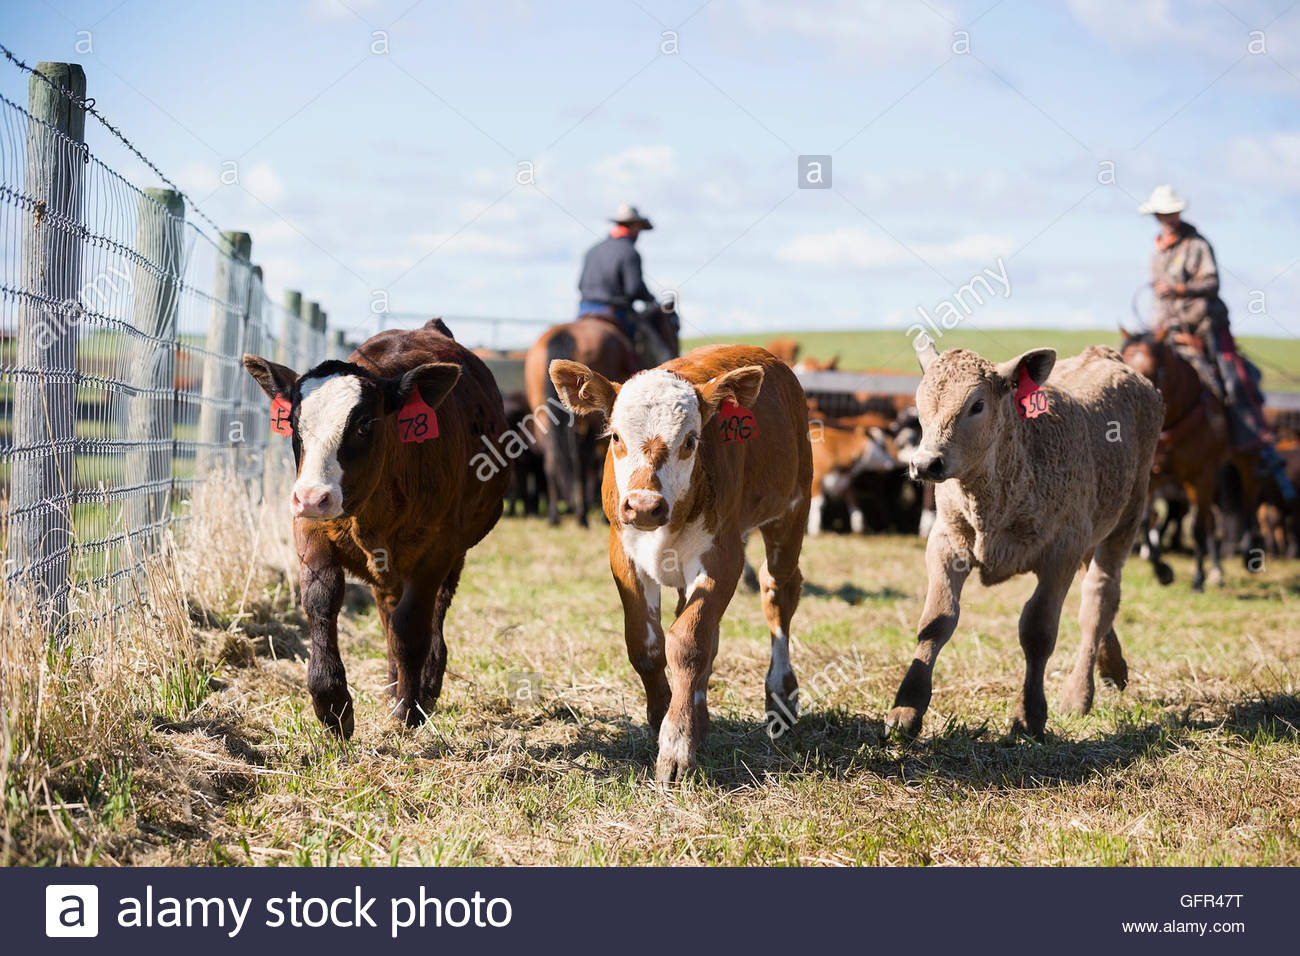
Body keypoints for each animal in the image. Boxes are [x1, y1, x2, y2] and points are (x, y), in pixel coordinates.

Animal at [241, 319, 509, 736]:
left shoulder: (437, 549)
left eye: (365, 424)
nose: (312, 497)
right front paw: (332, 702)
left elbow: (412, 627)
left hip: (455, 552)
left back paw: (425, 684)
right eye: (292, 422)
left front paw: (408, 709)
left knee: (432, 610)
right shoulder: (310, 530)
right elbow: (321, 601)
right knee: (387, 615)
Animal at [549, 345, 813, 782]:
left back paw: (780, 694)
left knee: (779, 594)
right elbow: (648, 645)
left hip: (790, 512)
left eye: (690, 440)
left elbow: (688, 644)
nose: (643, 505)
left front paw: (676, 745)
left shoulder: (722, 558)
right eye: (616, 436)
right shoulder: (624, 557)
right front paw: (664, 718)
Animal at [888, 342, 1163, 740]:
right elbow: (936, 620)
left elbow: (1038, 631)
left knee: (1099, 597)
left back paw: (1079, 692)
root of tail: (1105, 355)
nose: (925, 463)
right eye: (921, 402)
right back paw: (1112, 665)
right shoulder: (946, 542)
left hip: (1127, 513)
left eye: (976, 405)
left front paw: (1029, 715)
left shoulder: (1061, 551)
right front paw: (906, 708)